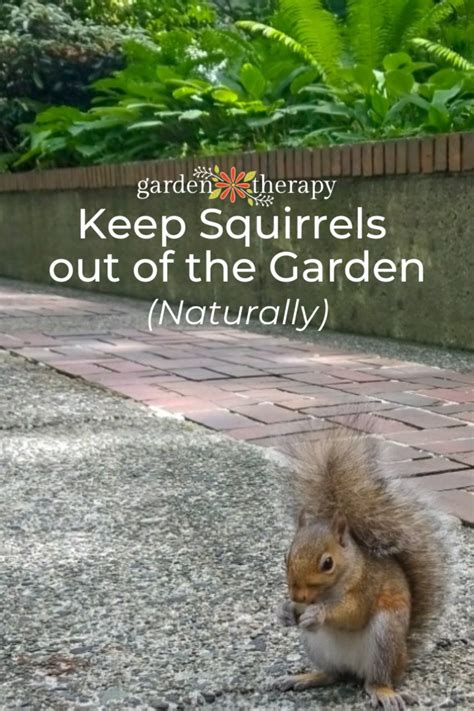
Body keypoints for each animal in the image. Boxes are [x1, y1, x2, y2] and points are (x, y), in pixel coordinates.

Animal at [275, 428, 456, 710]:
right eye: (286, 555)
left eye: (327, 563)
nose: (297, 596)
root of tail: (402, 658)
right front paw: (285, 611)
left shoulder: (367, 586)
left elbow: (354, 613)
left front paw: (318, 613)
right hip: (318, 647)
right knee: (334, 673)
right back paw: (307, 677)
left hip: (385, 638)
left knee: (374, 679)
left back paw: (384, 692)